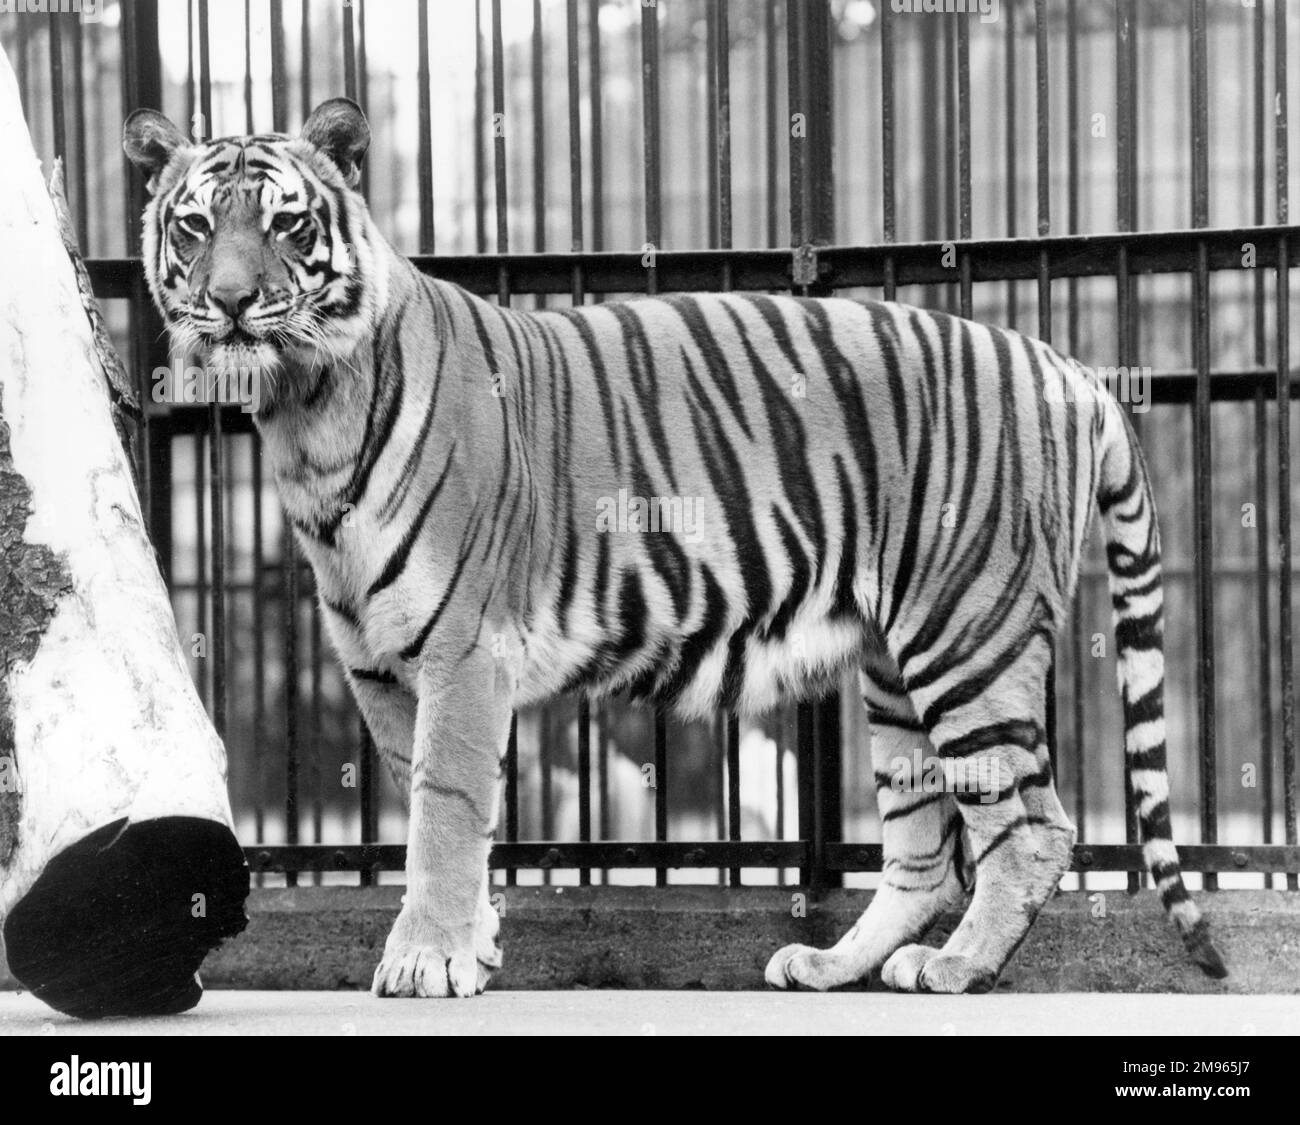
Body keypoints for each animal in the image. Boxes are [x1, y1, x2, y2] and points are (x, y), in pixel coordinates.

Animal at [123, 96, 1227, 997]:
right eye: (195, 224)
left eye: (286, 222)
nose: (229, 301)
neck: (305, 413)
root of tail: (1064, 365)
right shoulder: (381, 668)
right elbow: (439, 803)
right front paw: (469, 946)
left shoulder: (462, 651)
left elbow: (443, 810)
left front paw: (427, 960)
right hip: (893, 664)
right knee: (922, 849)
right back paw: (836, 964)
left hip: (967, 638)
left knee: (1032, 831)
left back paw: (958, 968)